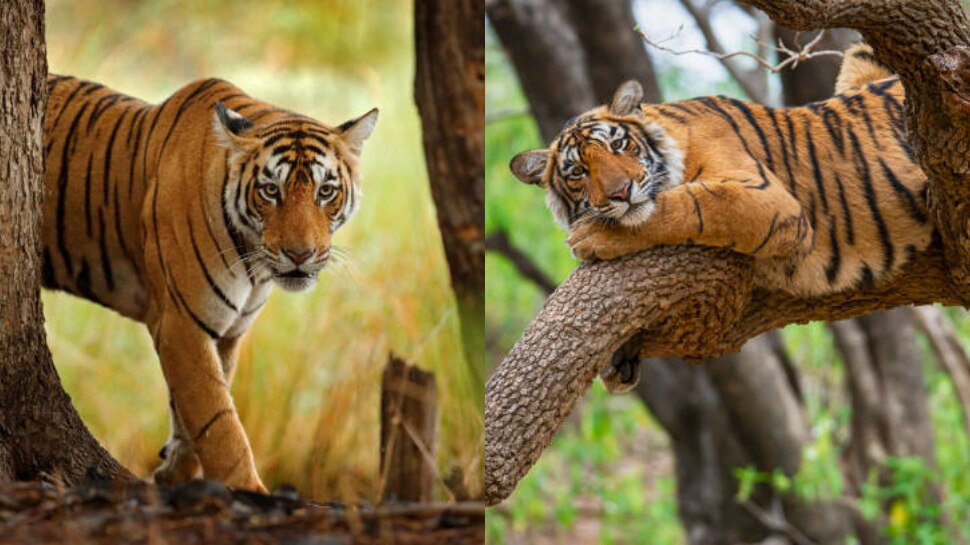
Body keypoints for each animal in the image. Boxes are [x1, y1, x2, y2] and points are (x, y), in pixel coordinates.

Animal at [43, 74, 378, 492]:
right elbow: (217, 419)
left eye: (326, 191)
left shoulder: (227, 330)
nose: (299, 254)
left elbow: (195, 407)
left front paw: (175, 472)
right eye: (271, 190)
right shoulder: (181, 323)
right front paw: (247, 489)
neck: (254, 265)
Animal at [509, 52, 930, 392]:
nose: (620, 192)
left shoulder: (769, 199)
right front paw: (620, 356)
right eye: (578, 171)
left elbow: (687, 206)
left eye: (618, 145)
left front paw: (593, 236)